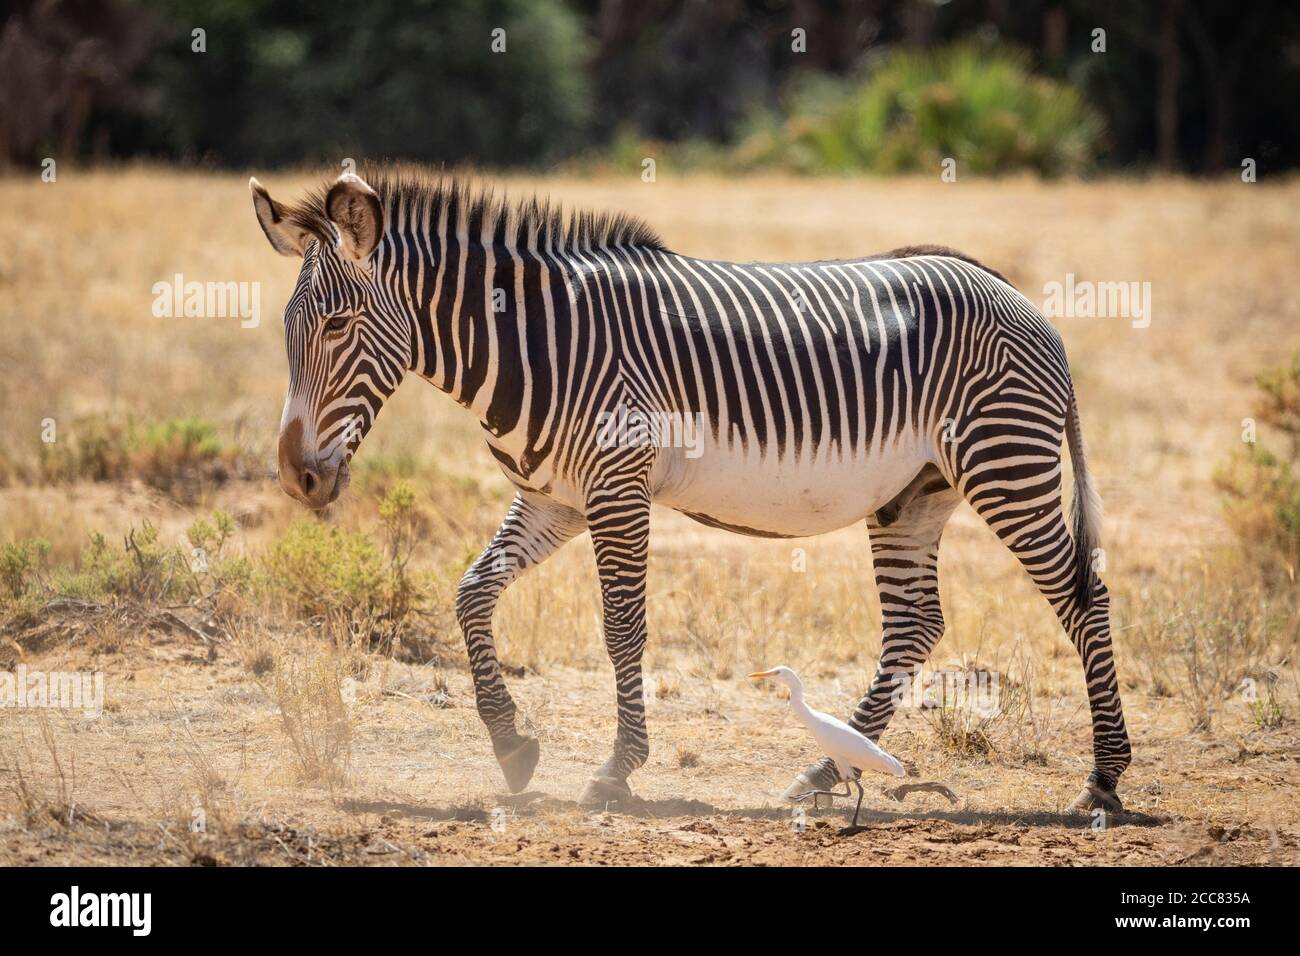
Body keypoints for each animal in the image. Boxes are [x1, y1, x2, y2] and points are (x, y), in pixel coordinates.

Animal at [250, 165, 1131, 814]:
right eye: (287, 331)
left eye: (337, 327)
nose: (297, 478)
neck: (537, 347)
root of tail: (1022, 300)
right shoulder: (555, 498)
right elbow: (471, 593)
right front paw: (512, 745)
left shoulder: (616, 485)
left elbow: (621, 629)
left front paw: (616, 769)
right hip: (912, 495)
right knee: (916, 625)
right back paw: (825, 770)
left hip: (1005, 466)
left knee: (1083, 597)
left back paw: (1105, 778)